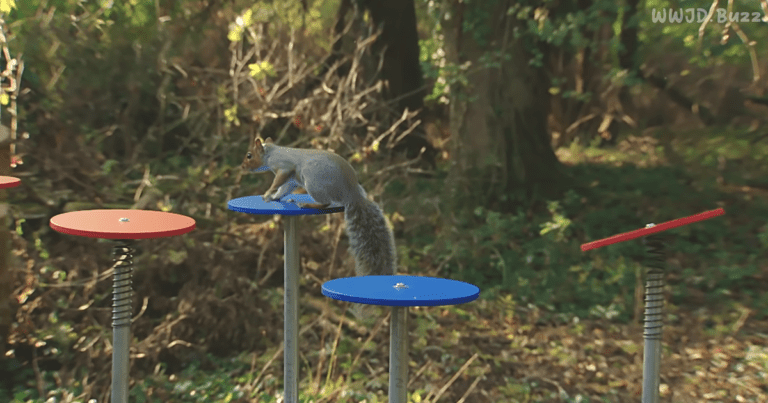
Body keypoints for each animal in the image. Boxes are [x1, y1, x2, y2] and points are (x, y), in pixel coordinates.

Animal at [241, 136, 397, 276]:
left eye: (249, 155)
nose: (242, 167)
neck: (272, 152)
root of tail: (352, 193)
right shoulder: (291, 180)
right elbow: (284, 189)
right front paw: (274, 197)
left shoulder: (284, 167)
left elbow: (277, 183)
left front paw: (268, 193)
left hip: (313, 181)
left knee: (325, 202)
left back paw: (307, 204)